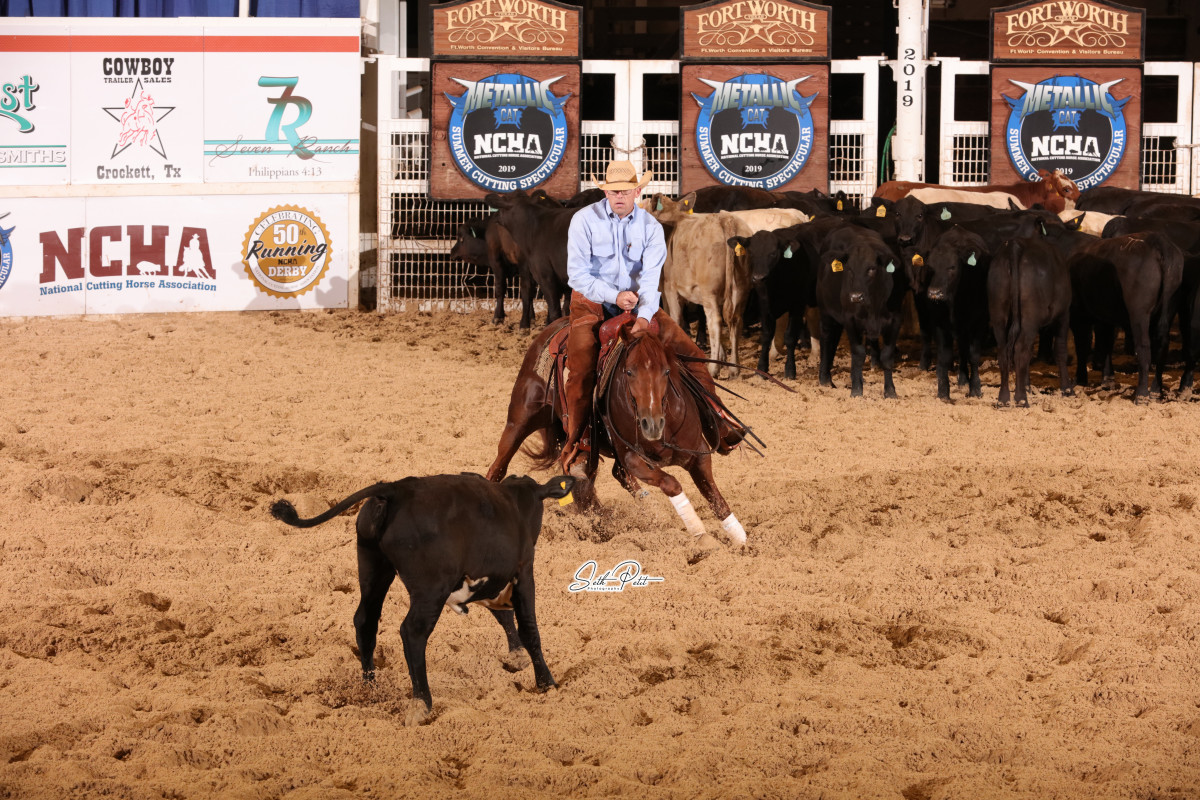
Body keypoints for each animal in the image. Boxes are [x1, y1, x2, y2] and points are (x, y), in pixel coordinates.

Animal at [485, 313, 752, 546]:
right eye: (629, 371)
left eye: (667, 371)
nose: (651, 424)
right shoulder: (634, 459)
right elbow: (672, 483)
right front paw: (701, 535)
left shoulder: (698, 454)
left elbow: (715, 498)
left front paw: (741, 540)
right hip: (521, 418)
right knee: (499, 466)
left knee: (601, 483)